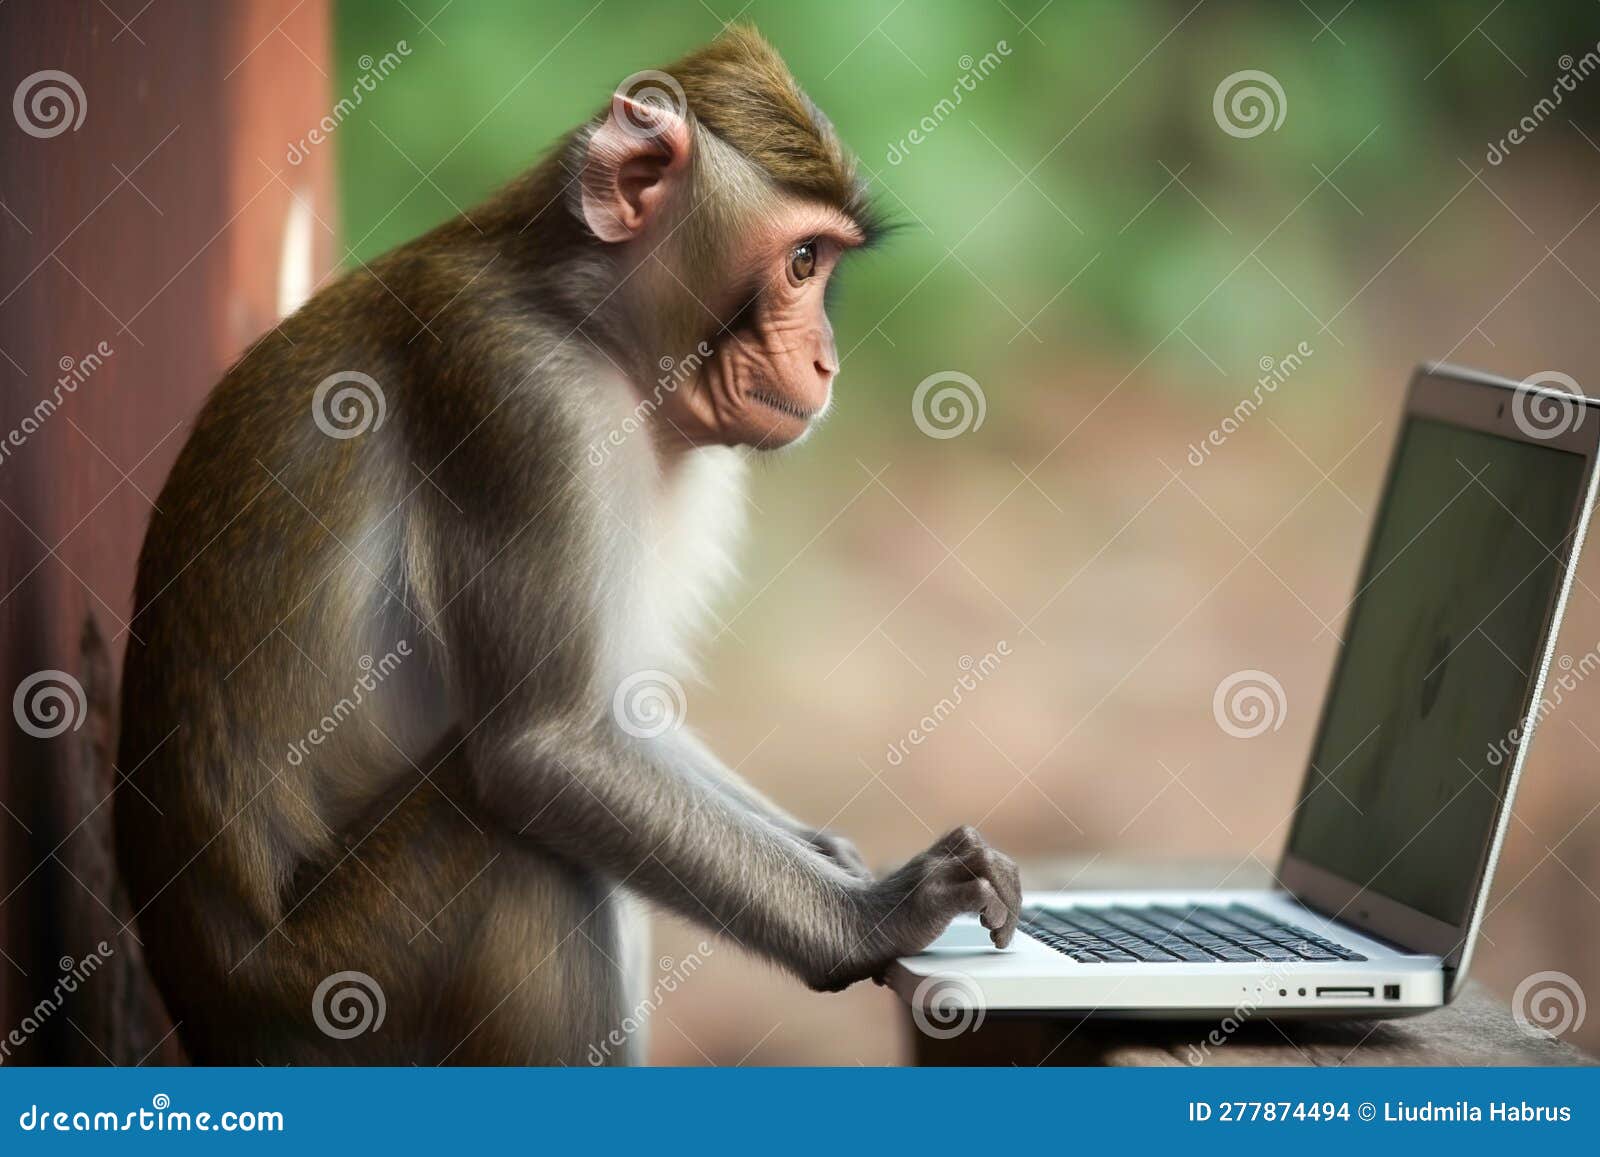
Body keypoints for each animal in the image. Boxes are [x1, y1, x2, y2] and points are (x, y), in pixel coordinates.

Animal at [113, 26, 1020, 1066]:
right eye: (801, 261)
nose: (828, 359)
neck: (583, 316)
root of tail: (208, 1012)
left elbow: (620, 708)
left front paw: (821, 852)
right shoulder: (526, 403)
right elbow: (545, 749)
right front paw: (872, 913)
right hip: (333, 990)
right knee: (519, 850)